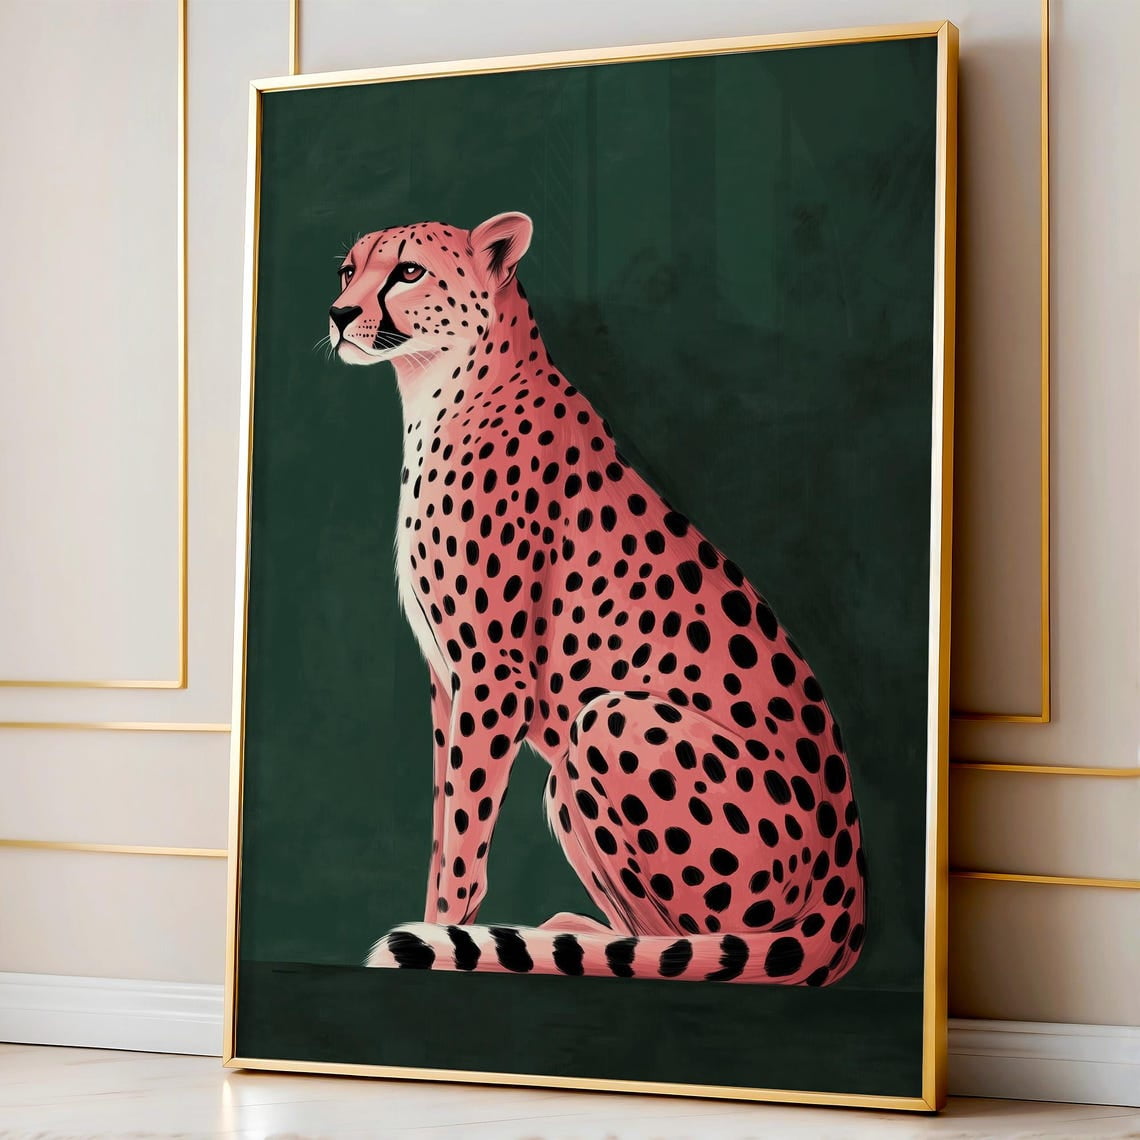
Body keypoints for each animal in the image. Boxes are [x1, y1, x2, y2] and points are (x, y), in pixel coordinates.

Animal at [326, 211, 866, 985]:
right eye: (349, 271)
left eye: (407, 271)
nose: (339, 314)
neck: (443, 390)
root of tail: (846, 889)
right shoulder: (446, 681)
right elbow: (441, 822)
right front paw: (438, 925)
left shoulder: (492, 678)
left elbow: (462, 834)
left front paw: (439, 936)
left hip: (609, 720)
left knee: (712, 952)